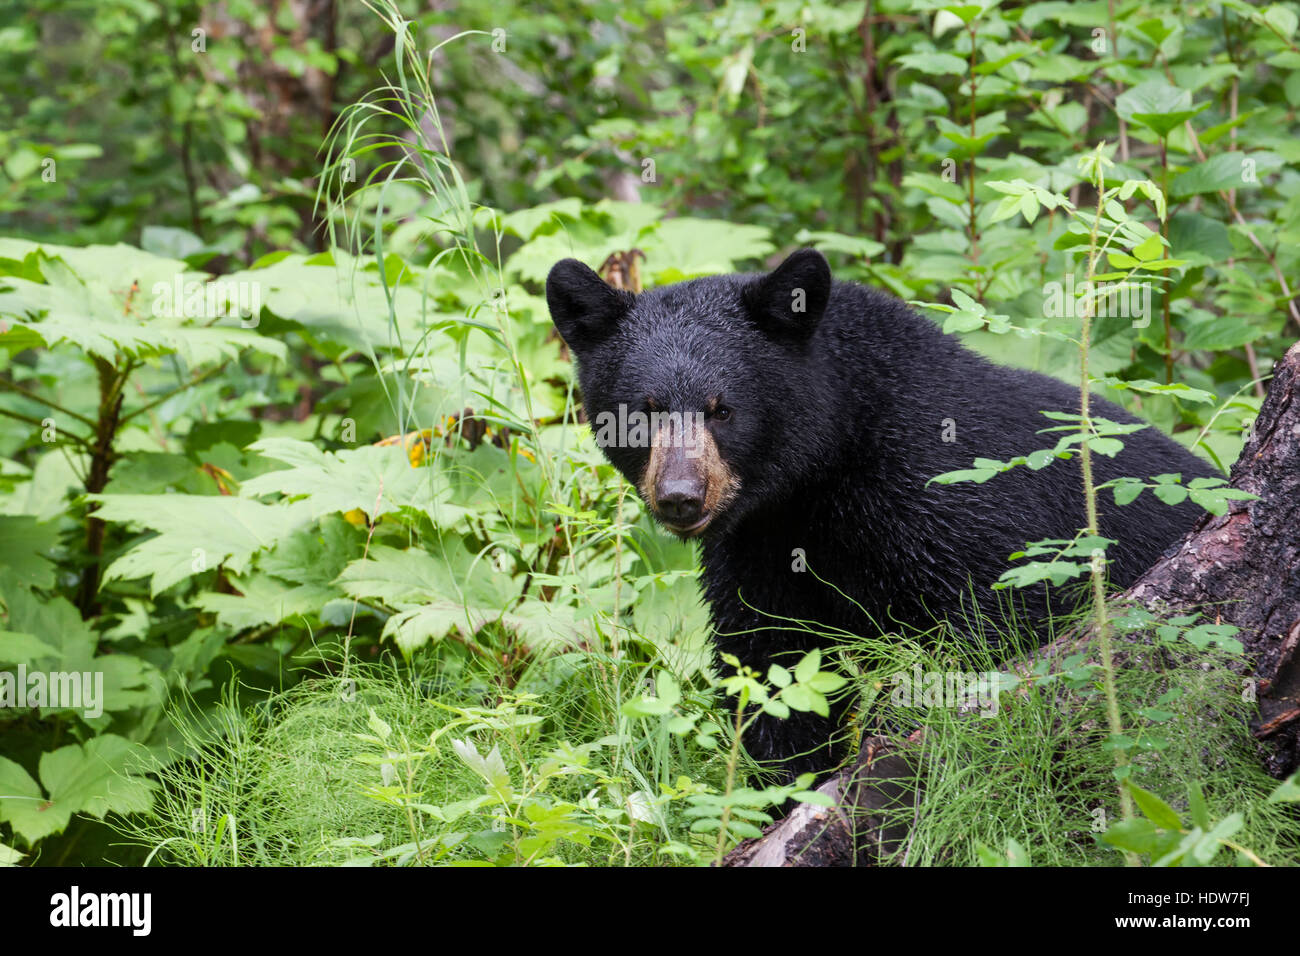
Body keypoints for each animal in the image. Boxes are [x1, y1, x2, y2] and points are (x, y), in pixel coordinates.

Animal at [545, 248, 1218, 788]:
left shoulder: (949, 491)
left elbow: (1004, 615)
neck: (821, 472)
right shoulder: (760, 547)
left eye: (723, 409)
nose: (680, 496)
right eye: (644, 410)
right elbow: (773, 669)